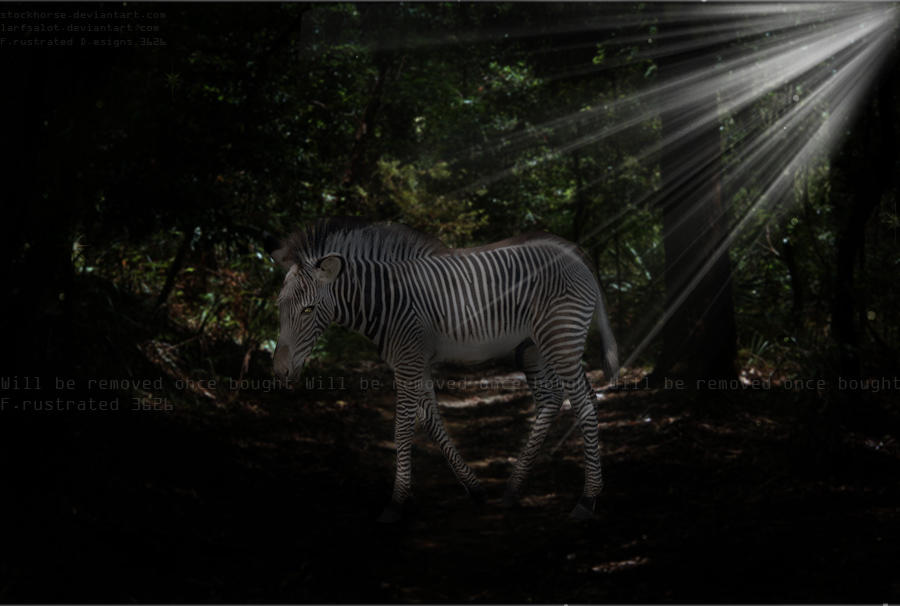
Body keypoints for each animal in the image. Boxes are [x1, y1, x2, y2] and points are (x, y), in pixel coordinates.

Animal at [269, 217, 618, 522]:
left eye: (308, 310)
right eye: (278, 307)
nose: (279, 372)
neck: (385, 299)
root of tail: (575, 253)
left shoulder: (409, 361)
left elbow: (403, 428)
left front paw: (396, 503)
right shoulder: (415, 361)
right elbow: (432, 421)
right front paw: (474, 489)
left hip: (560, 337)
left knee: (585, 403)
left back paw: (587, 500)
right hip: (534, 347)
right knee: (552, 399)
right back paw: (514, 489)